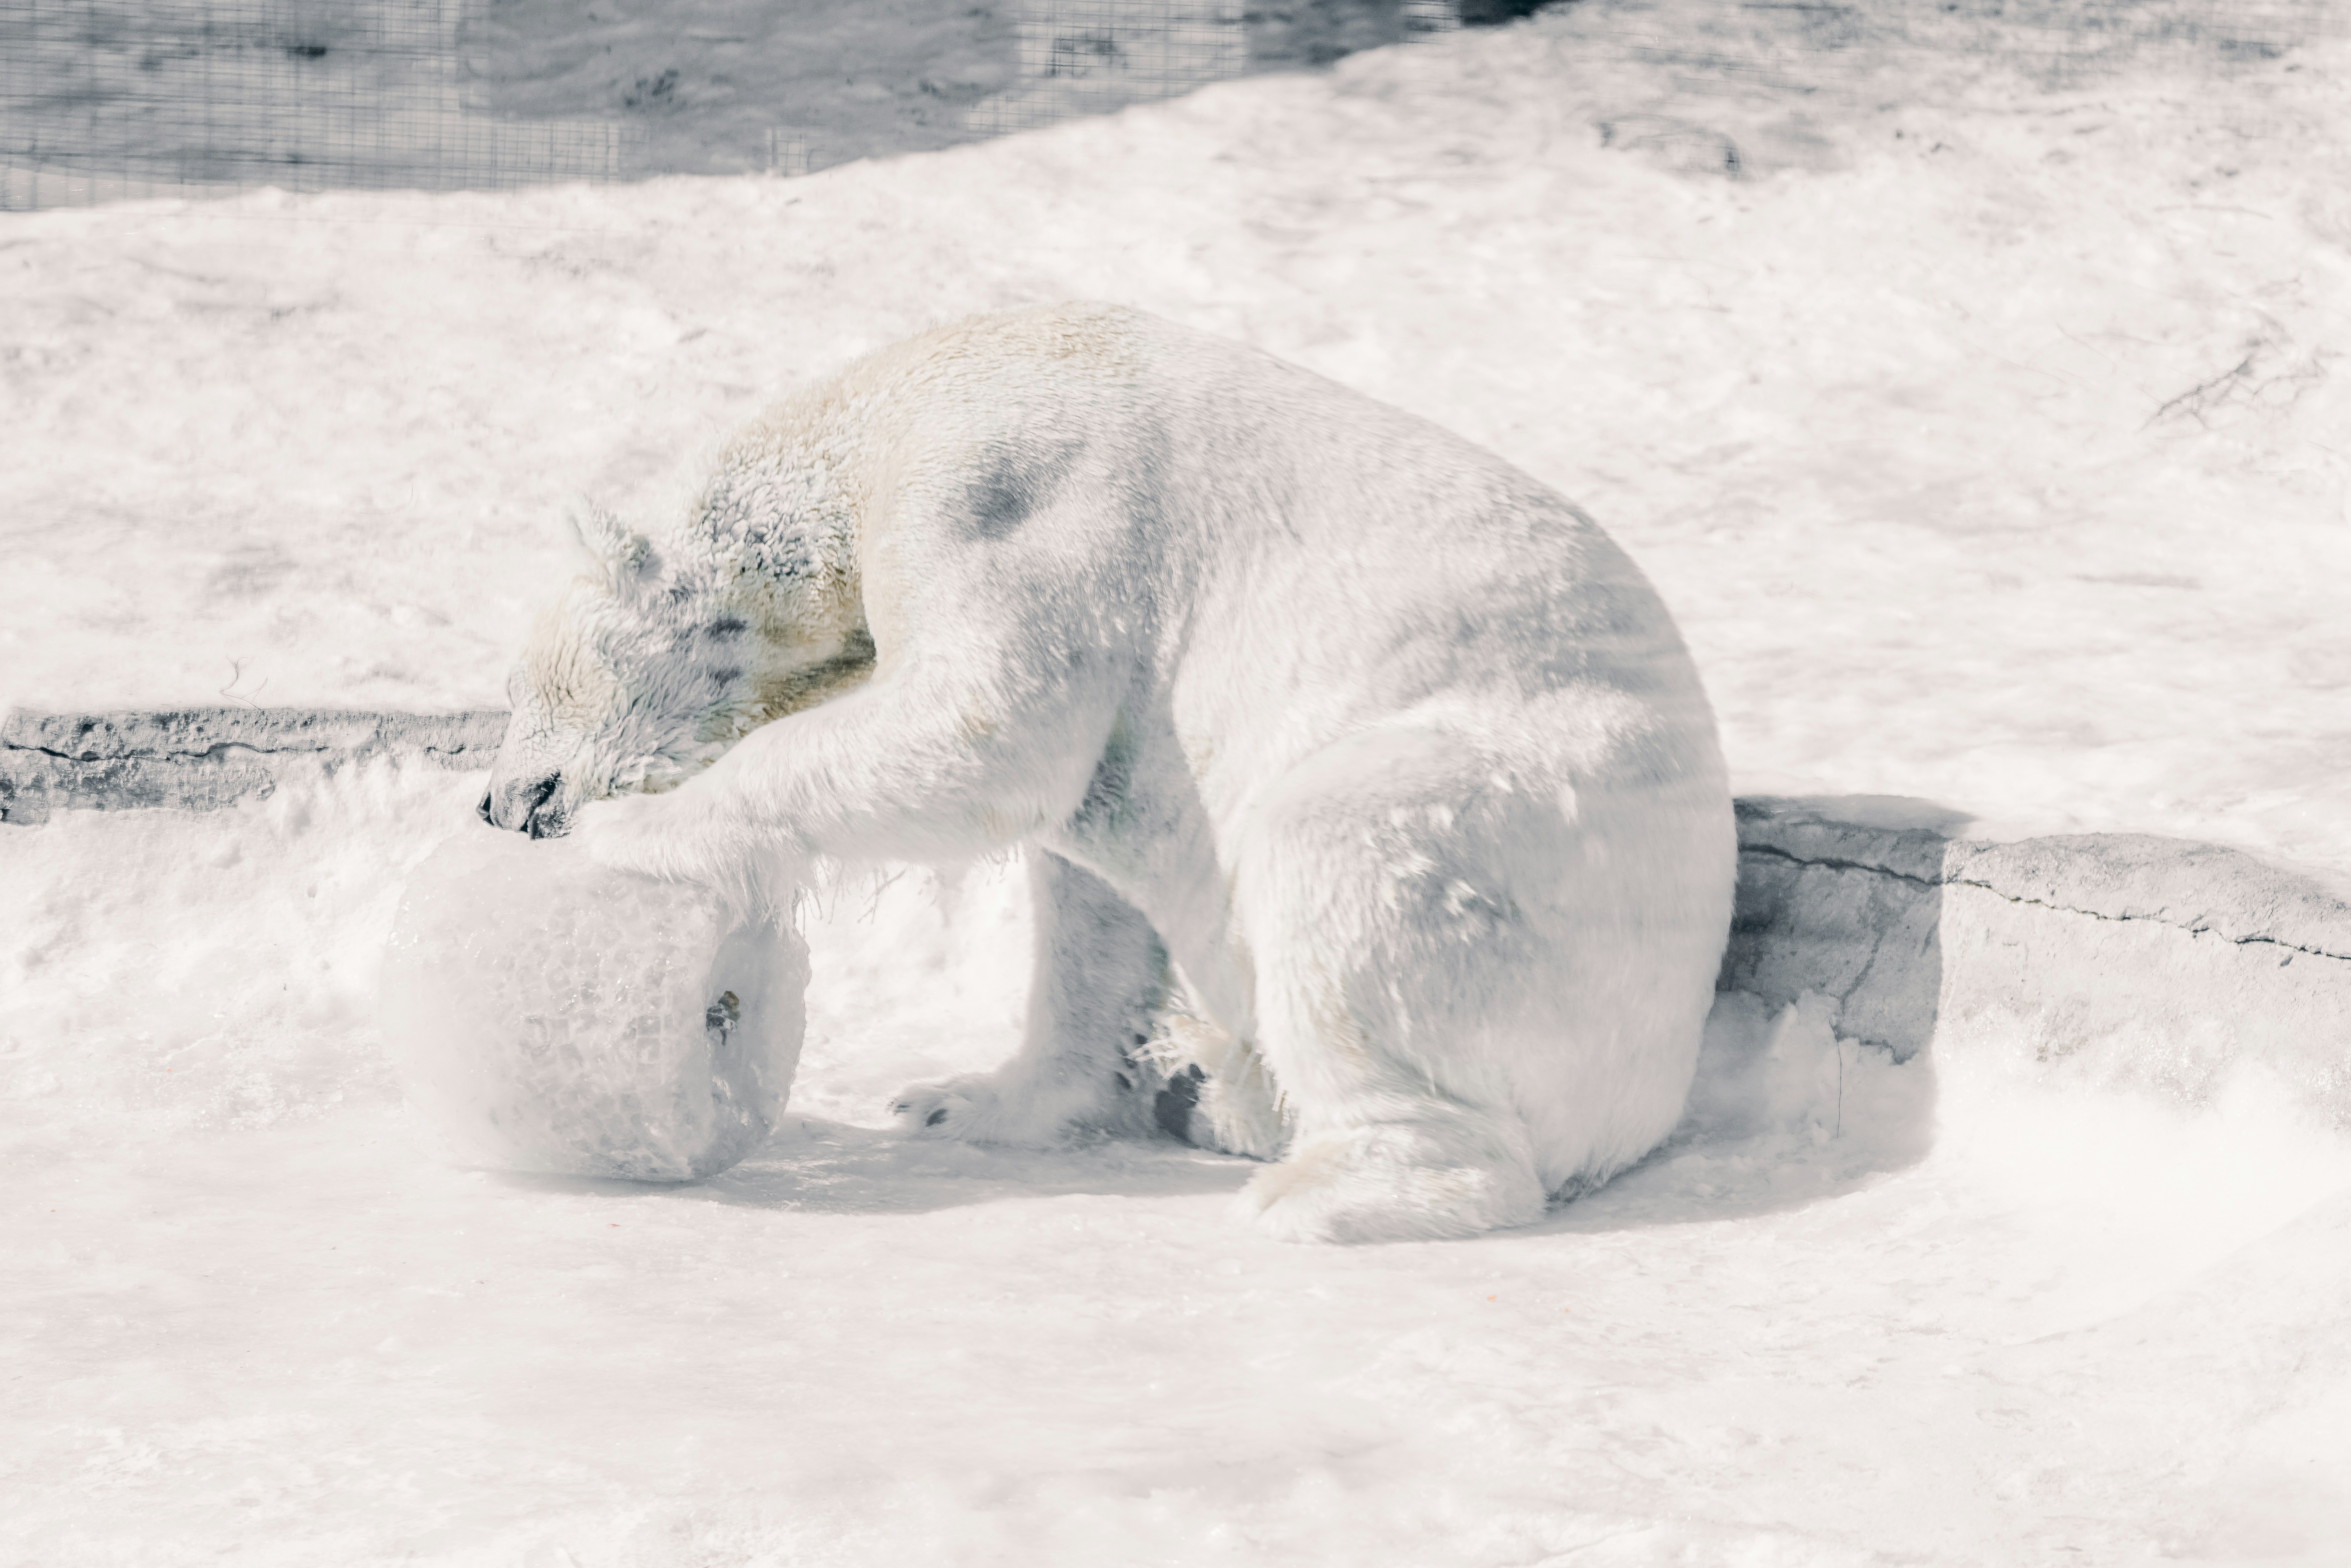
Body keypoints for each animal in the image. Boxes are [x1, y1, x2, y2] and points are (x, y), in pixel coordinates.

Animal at [482, 302, 1736, 1243]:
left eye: (530, 688)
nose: (502, 802)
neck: (883, 415)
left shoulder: (1002, 500)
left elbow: (984, 723)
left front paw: (642, 832)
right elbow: (1087, 889)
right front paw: (961, 1100)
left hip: (1522, 842)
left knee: (1341, 858)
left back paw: (1321, 1186)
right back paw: (1223, 1096)